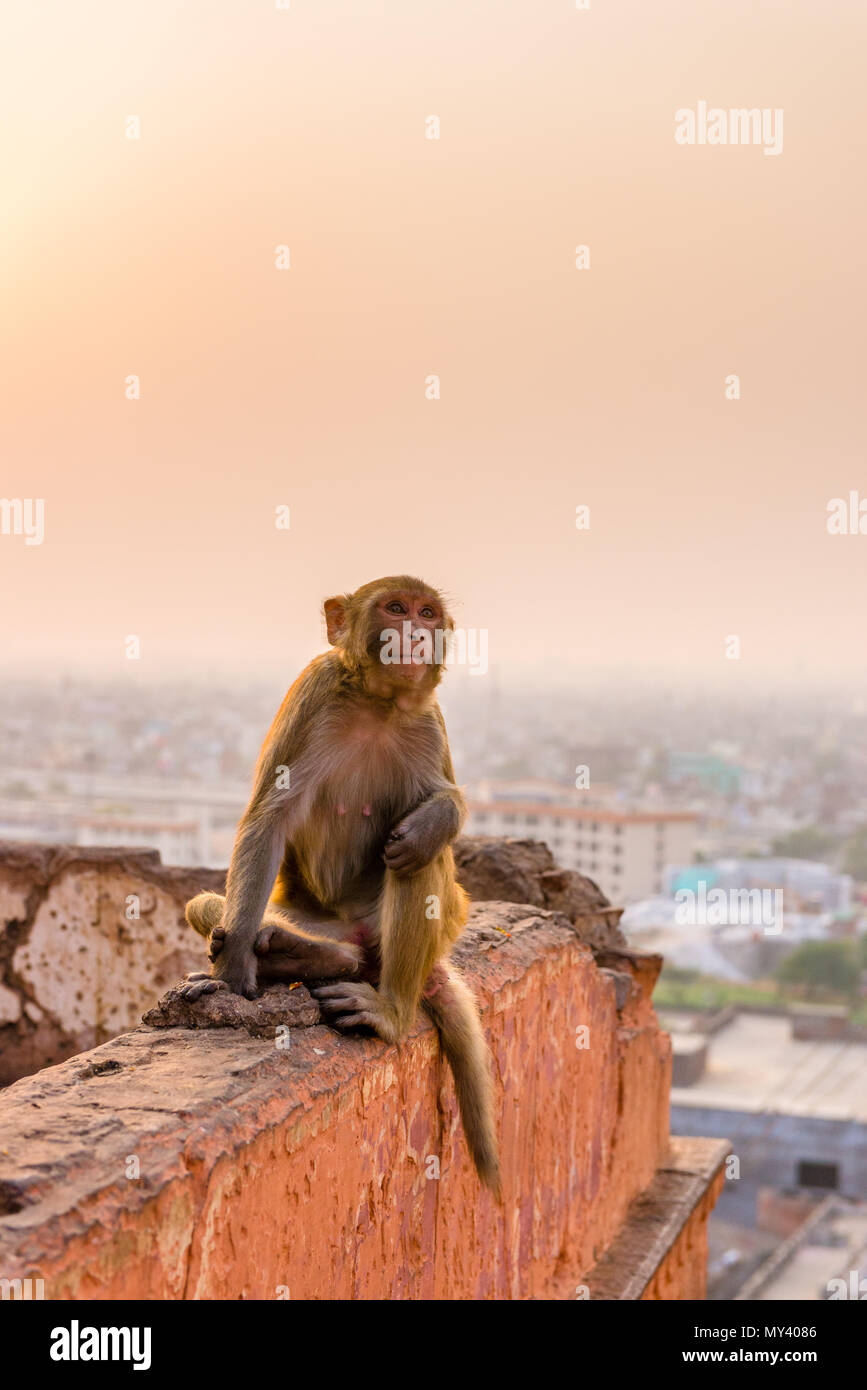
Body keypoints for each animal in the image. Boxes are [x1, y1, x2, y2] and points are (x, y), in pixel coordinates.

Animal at [180, 576, 500, 1194]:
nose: (415, 633)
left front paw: (432, 819)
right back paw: (294, 952)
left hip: (406, 935)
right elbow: (269, 819)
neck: (379, 703)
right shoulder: (314, 693)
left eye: (428, 613)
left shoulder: (430, 721)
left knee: (416, 862)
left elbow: (444, 799)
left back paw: (389, 1008)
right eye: (396, 608)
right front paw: (233, 969)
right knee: (211, 905)